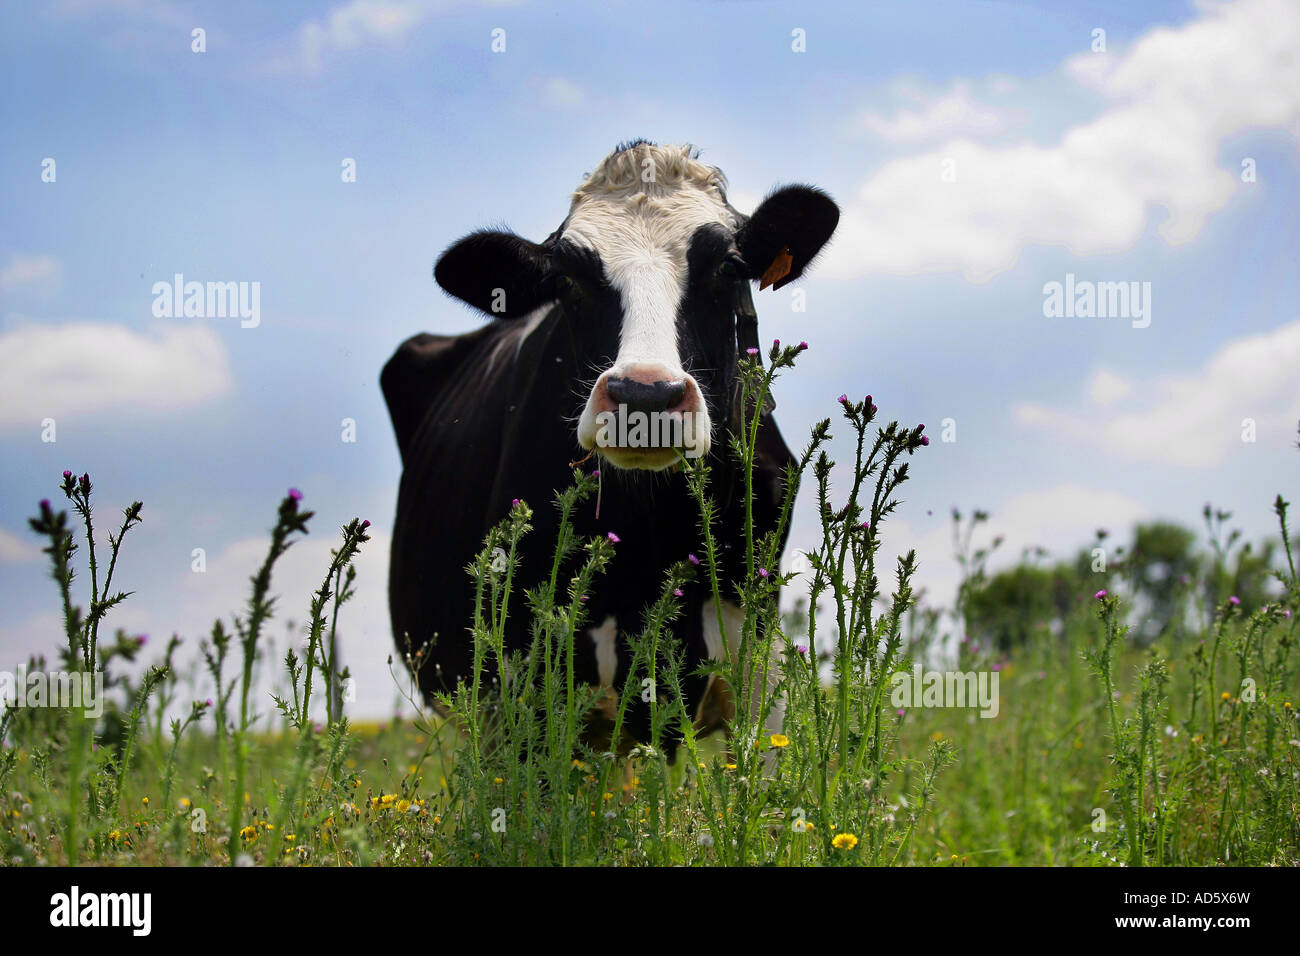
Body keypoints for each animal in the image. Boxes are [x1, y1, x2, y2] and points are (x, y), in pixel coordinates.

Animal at [382, 140, 838, 757]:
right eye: (567, 282)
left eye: (727, 266)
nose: (645, 395)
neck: (651, 528)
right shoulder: (528, 674)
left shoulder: (757, 656)